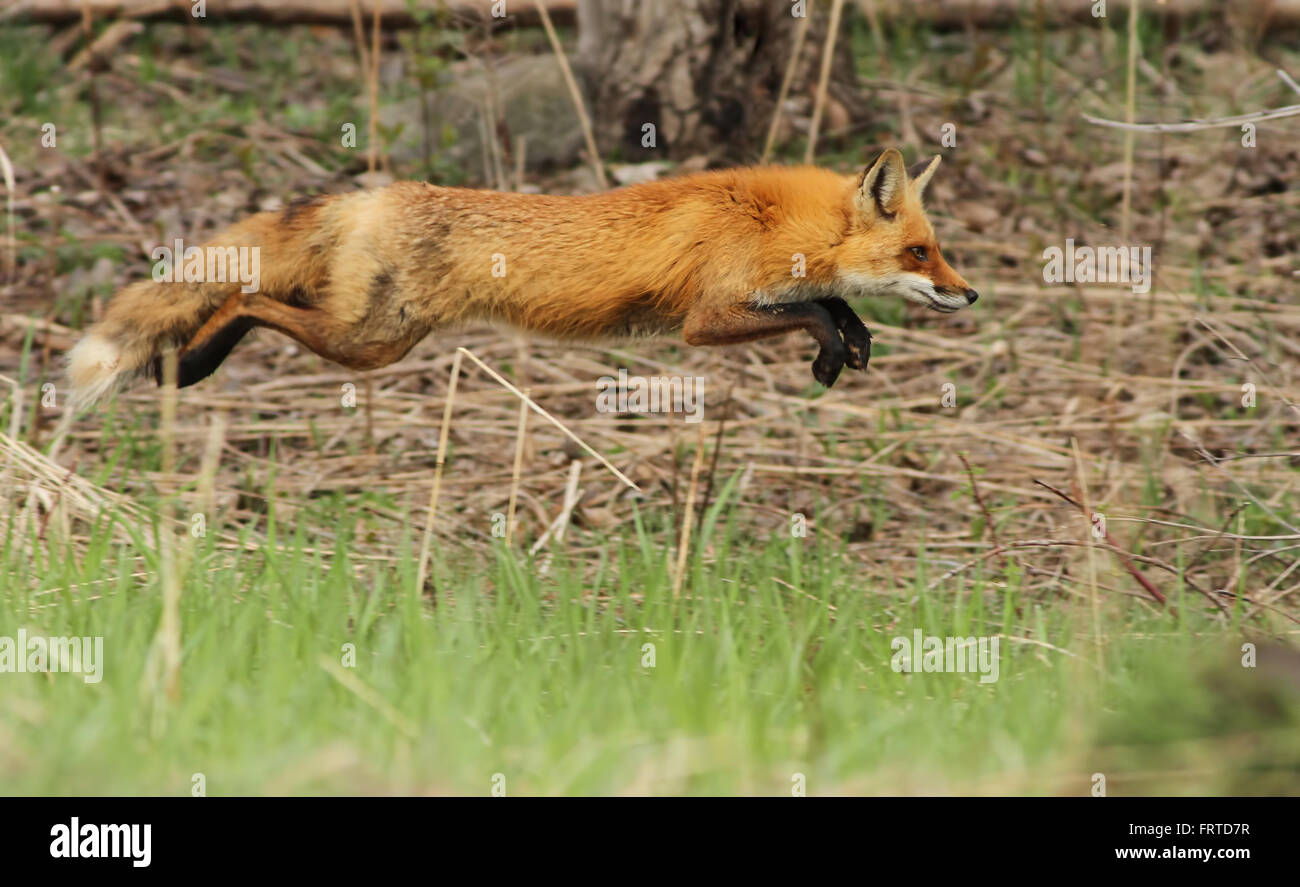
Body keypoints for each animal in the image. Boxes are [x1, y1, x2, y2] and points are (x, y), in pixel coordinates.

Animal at [65, 147, 976, 409]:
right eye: (919, 253)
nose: (971, 294)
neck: (769, 221)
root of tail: (371, 194)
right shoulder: (702, 321)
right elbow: (811, 309)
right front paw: (831, 348)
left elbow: (827, 300)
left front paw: (851, 341)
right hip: (371, 341)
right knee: (248, 298)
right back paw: (190, 364)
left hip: (373, 331)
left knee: (256, 295)